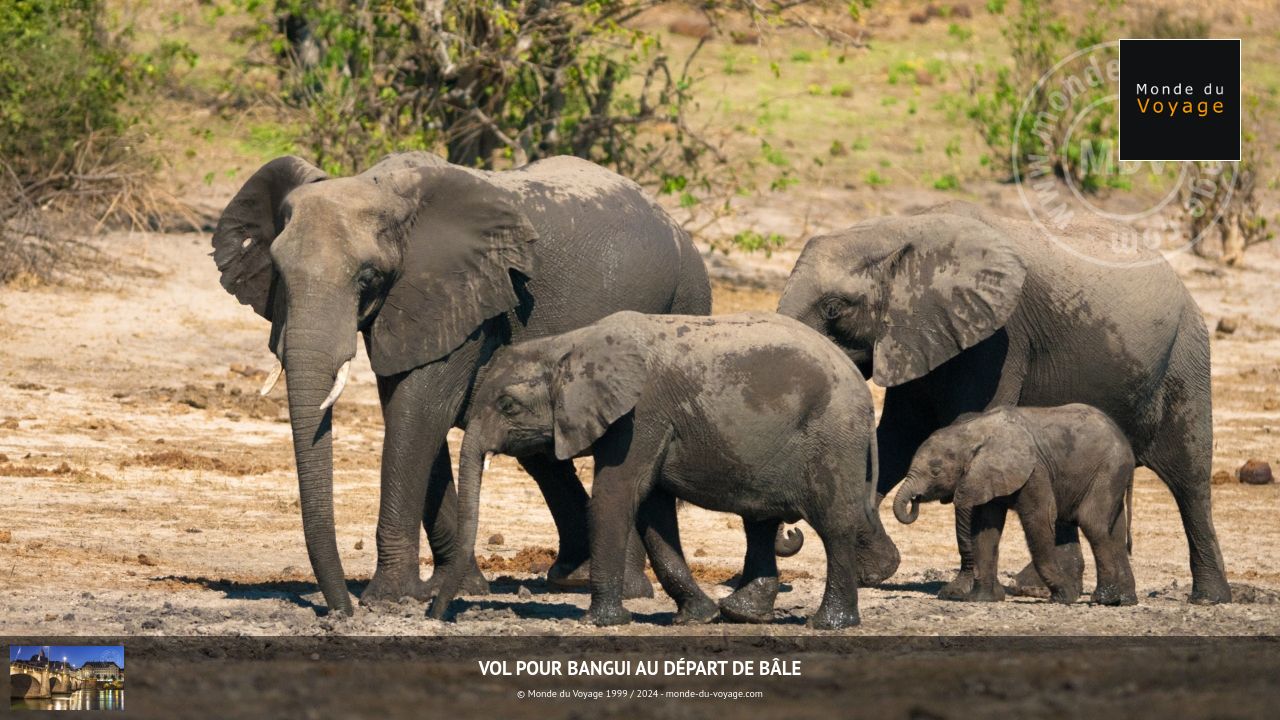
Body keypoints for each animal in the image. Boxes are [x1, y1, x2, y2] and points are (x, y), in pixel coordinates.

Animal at [209, 149, 711, 609]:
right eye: (278, 273)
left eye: (367, 277)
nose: (341, 610)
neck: (382, 189)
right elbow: (408, 413)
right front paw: (456, 588)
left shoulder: (462, 296)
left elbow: (417, 412)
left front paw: (387, 599)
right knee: (543, 455)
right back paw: (572, 578)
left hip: (684, 298)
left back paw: (626, 589)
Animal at [424, 311, 896, 625]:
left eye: (508, 405)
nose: (438, 614)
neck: (568, 344)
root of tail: (859, 381)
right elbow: (653, 513)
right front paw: (697, 618)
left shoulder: (641, 414)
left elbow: (616, 498)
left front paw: (599, 622)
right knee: (760, 521)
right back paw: (741, 614)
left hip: (832, 435)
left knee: (834, 524)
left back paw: (828, 624)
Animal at [896, 404, 1136, 604]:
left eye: (935, 471)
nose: (915, 500)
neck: (973, 432)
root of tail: (1127, 446)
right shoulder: (985, 475)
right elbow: (985, 529)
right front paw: (983, 599)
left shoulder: (1034, 470)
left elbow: (1039, 520)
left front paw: (1063, 598)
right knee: (1115, 531)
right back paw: (1124, 600)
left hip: (1107, 470)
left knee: (1092, 524)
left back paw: (1103, 599)